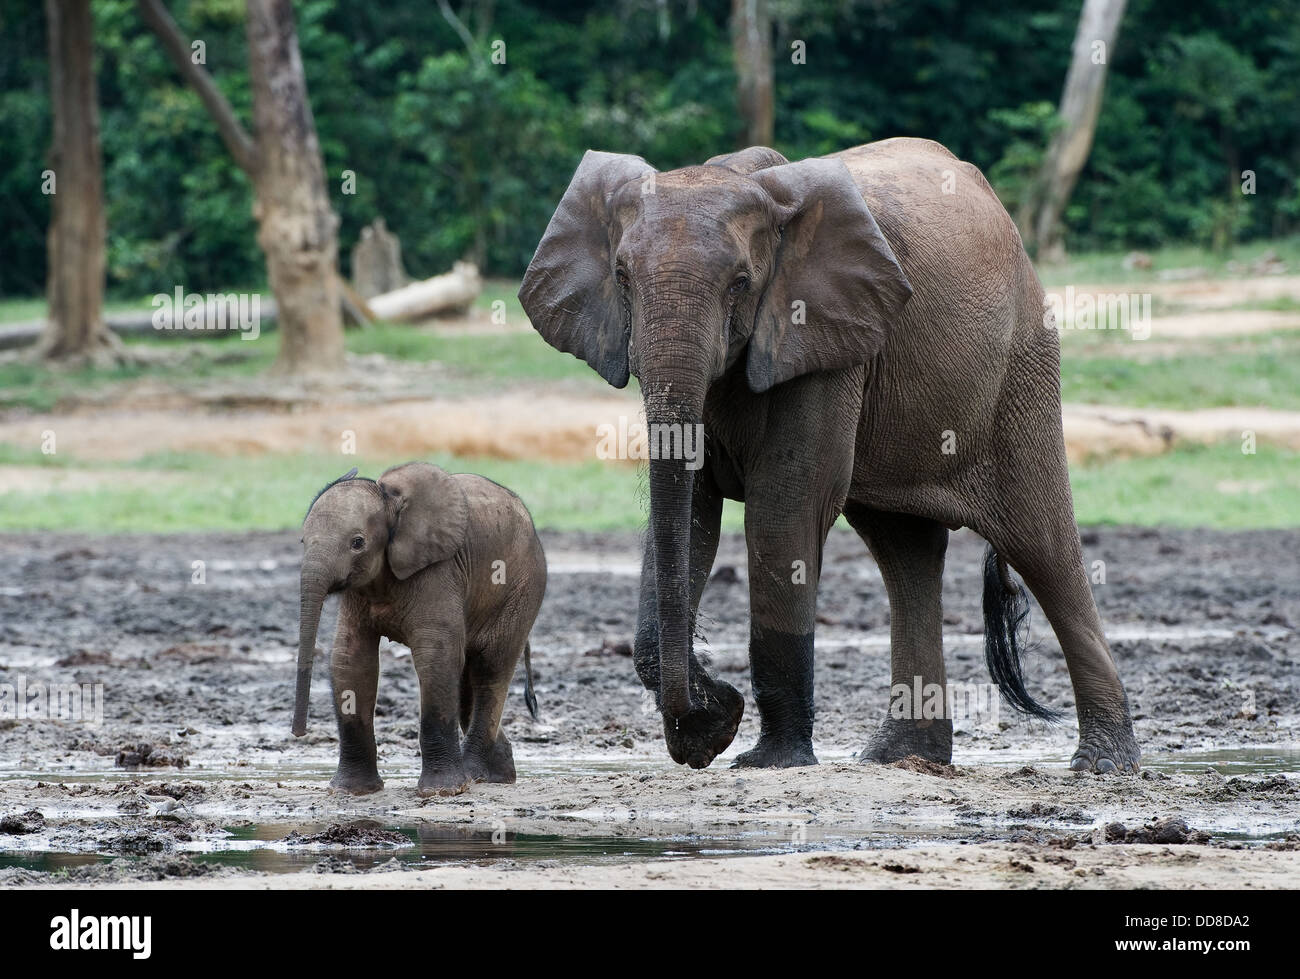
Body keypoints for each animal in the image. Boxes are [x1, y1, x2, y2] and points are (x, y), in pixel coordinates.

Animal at [291, 462, 546, 794]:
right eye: (302, 542)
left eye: (357, 543)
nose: (298, 733)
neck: (389, 500)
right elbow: (350, 661)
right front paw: (350, 791)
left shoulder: (439, 570)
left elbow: (435, 657)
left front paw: (441, 791)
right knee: (468, 681)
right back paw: (496, 776)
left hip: (522, 588)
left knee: (490, 669)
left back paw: (474, 774)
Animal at [518, 138, 1140, 774]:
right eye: (621, 277)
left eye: (741, 282)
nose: (710, 707)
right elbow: (692, 510)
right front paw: (712, 729)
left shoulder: (819, 337)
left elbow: (782, 510)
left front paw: (766, 759)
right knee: (905, 552)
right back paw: (899, 759)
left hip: (1022, 369)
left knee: (1042, 547)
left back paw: (1103, 765)